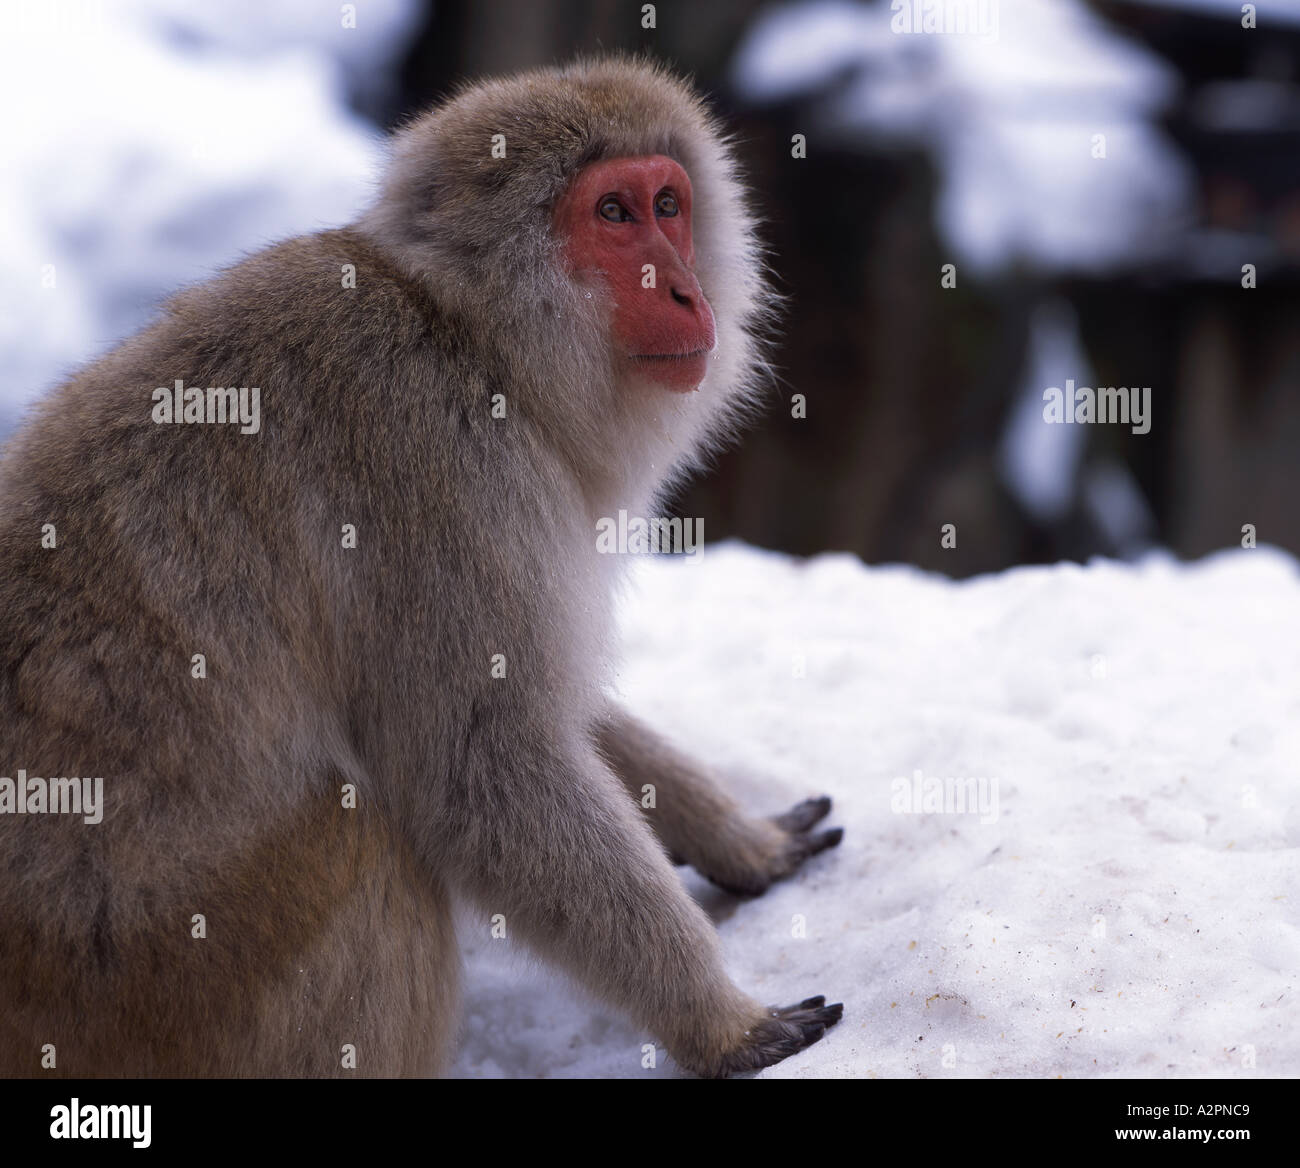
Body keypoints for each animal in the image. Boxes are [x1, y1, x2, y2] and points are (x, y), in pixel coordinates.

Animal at [0, 56, 843, 1079]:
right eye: (613, 214)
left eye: (669, 205)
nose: (688, 293)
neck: (471, 340)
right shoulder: (435, 463)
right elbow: (480, 765)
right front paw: (724, 1024)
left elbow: (547, 708)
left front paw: (737, 839)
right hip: (155, 986)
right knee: (372, 846)